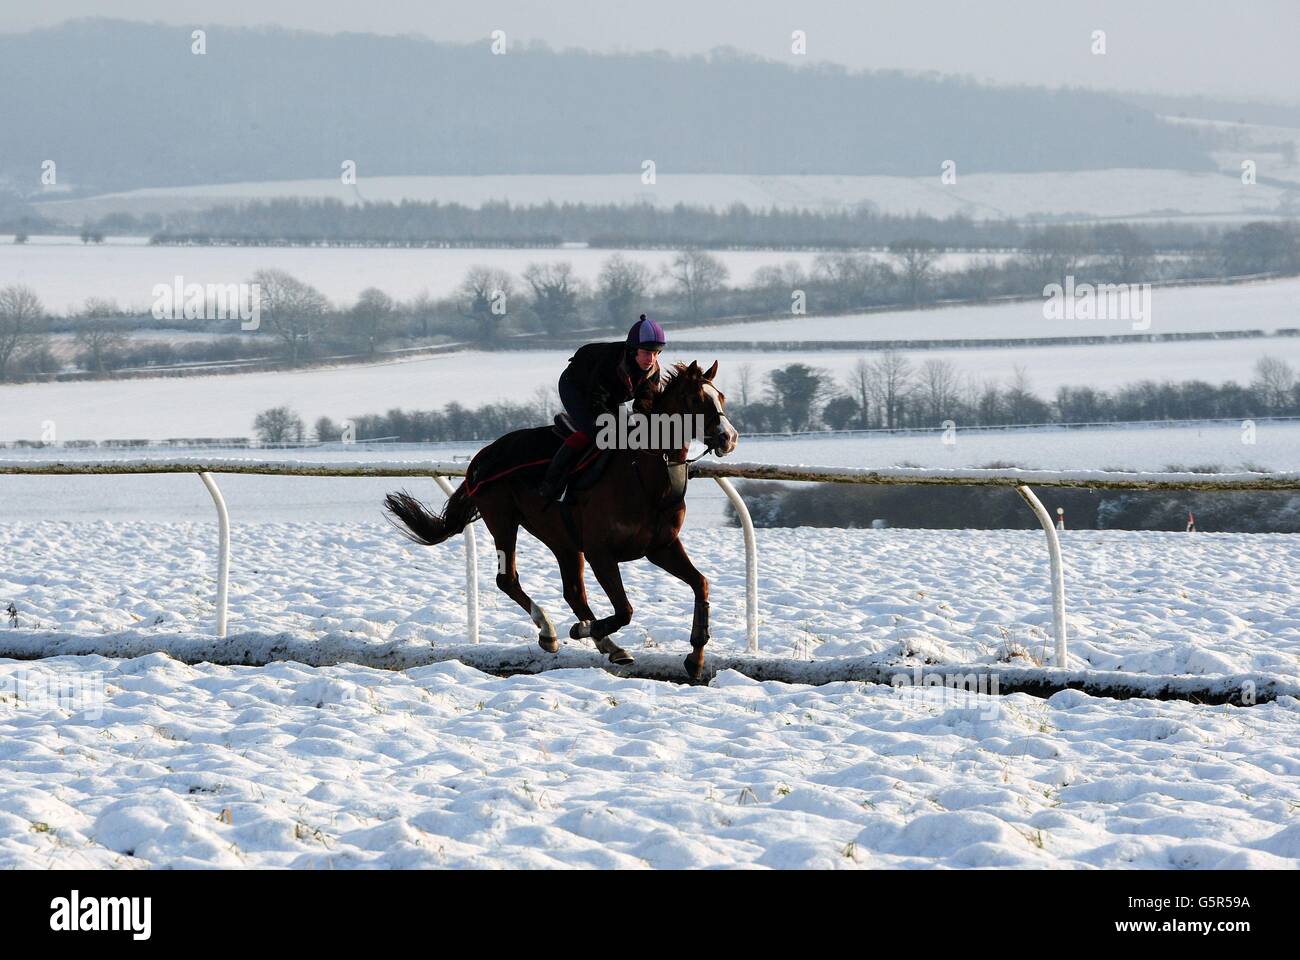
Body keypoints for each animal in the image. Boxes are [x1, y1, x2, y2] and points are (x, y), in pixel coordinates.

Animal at [384, 360, 739, 680]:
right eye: (695, 399)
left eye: (721, 396)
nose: (729, 437)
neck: (643, 474)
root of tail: (481, 457)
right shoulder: (600, 552)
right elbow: (624, 610)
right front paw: (581, 630)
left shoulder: (661, 546)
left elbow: (701, 584)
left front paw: (695, 658)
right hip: (502, 518)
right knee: (508, 579)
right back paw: (550, 632)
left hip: (561, 539)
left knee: (573, 592)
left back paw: (609, 646)